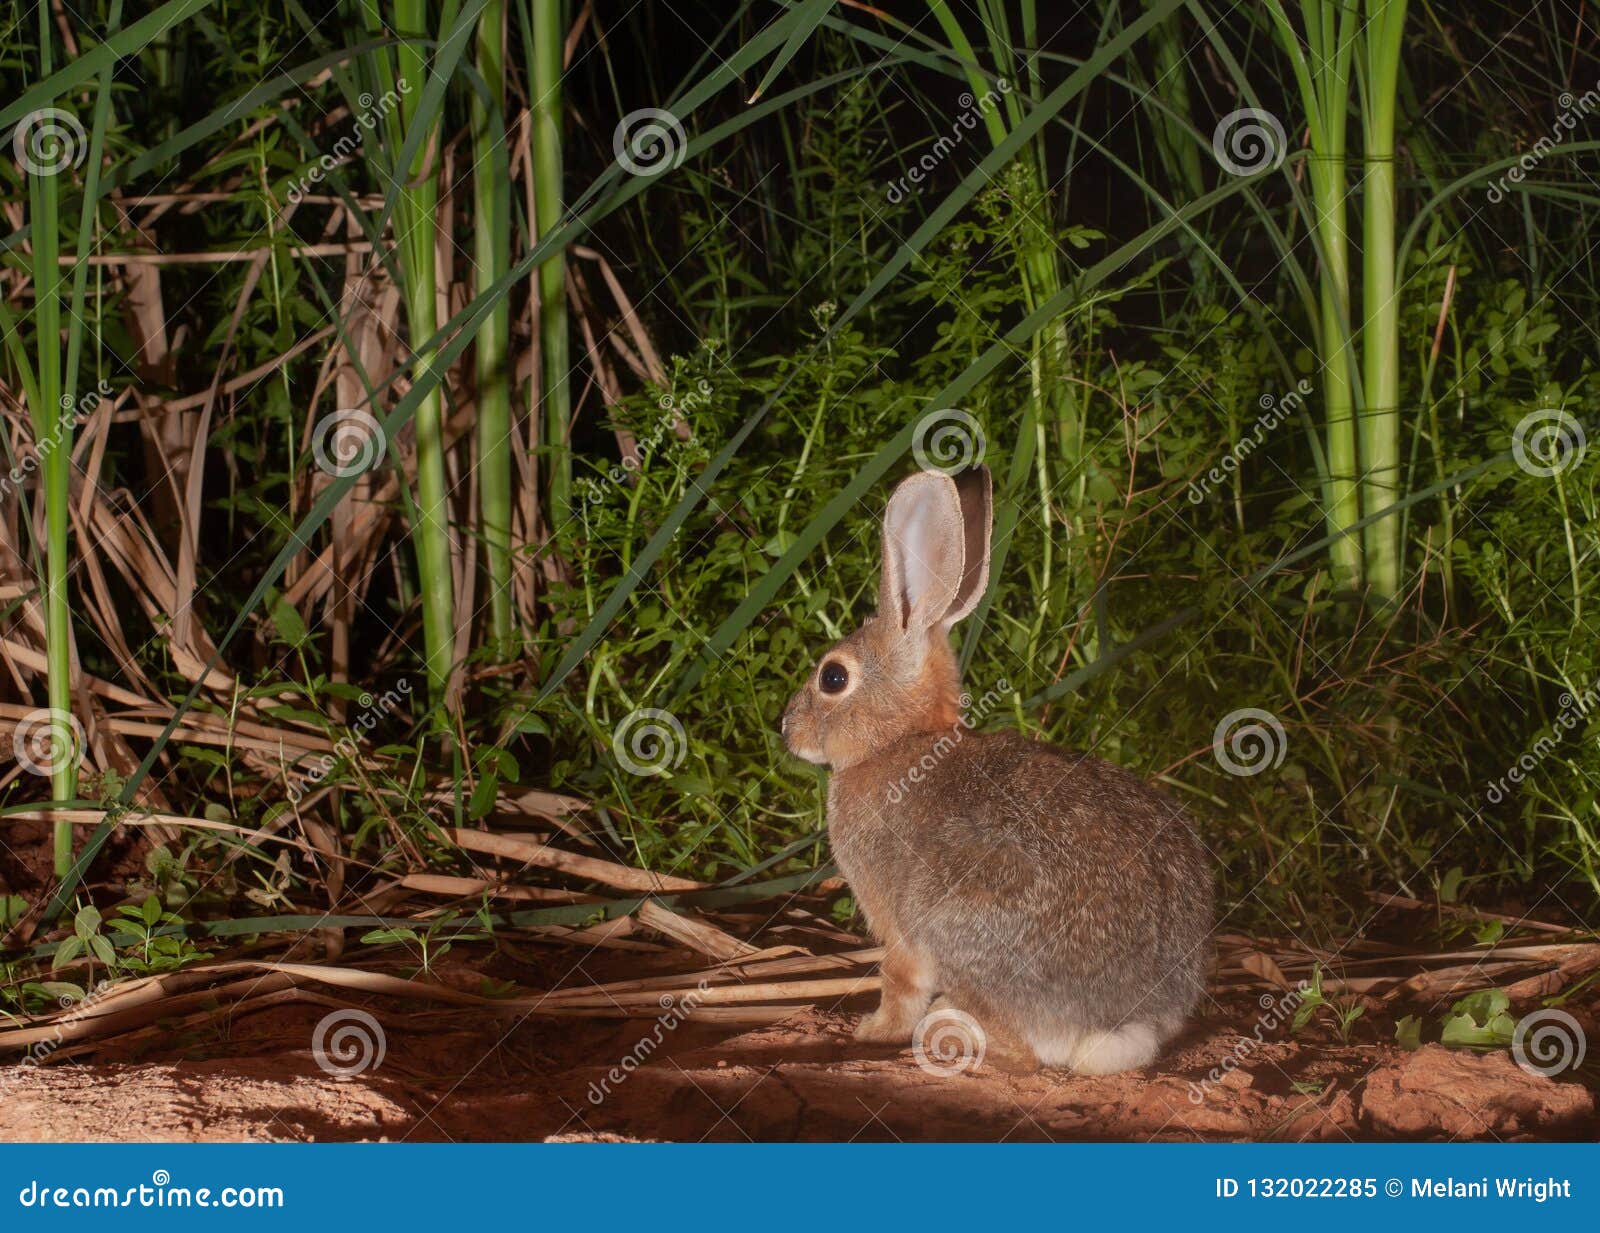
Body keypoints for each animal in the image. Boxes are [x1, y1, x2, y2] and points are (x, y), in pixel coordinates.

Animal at [780, 463, 1213, 1075]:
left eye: (833, 678)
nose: (785, 728)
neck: (903, 742)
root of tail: (1123, 1022)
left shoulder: (900, 925)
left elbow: (900, 981)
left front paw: (873, 1030)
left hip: (960, 921)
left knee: (1021, 1053)